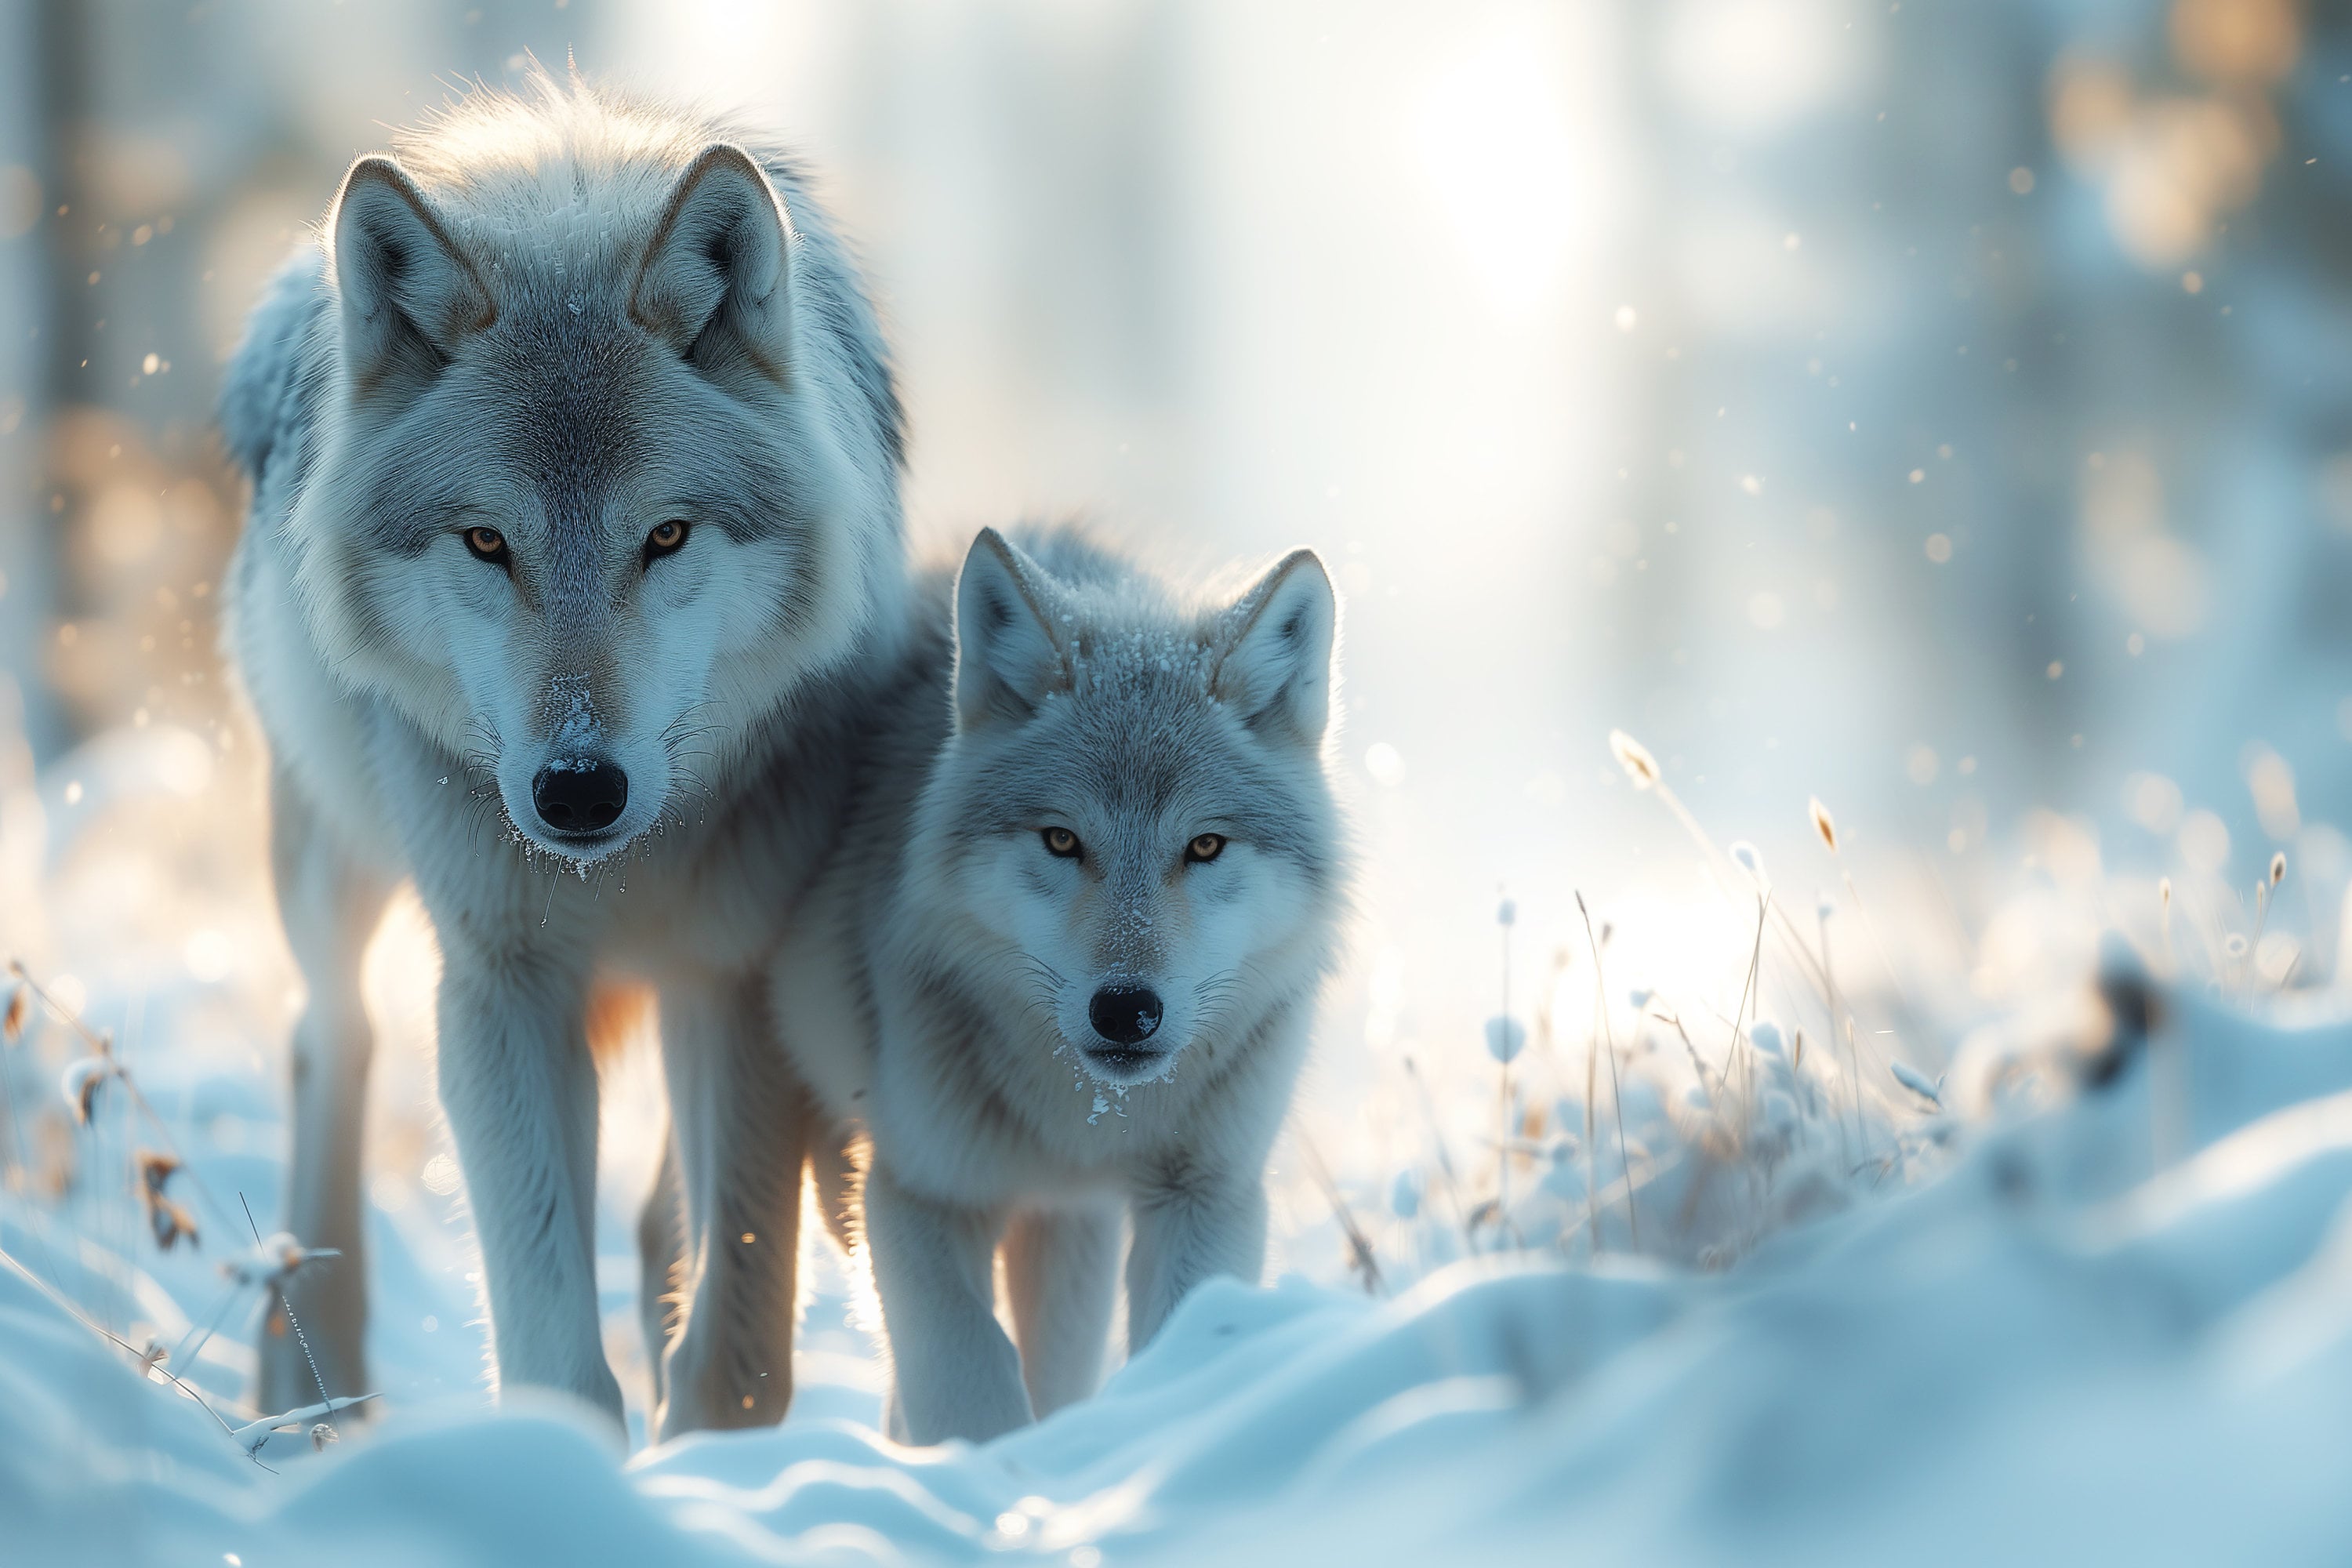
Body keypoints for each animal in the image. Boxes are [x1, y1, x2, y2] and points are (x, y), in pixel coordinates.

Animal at [216, 74, 906, 1438]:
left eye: (667, 536)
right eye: (488, 541)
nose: (579, 790)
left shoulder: (732, 970)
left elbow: (740, 1346)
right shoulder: (502, 982)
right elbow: (553, 1352)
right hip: (330, 865)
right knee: (332, 1037)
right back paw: (310, 1389)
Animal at [769, 525, 1347, 1444]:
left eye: (1206, 846)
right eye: (1062, 840)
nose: (1126, 1009)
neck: (1084, 1123)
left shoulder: (1206, 1195)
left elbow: (1175, 1360)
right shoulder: (917, 1192)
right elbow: (967, 1377)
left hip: (1071, 1234)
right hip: (843, 1182)